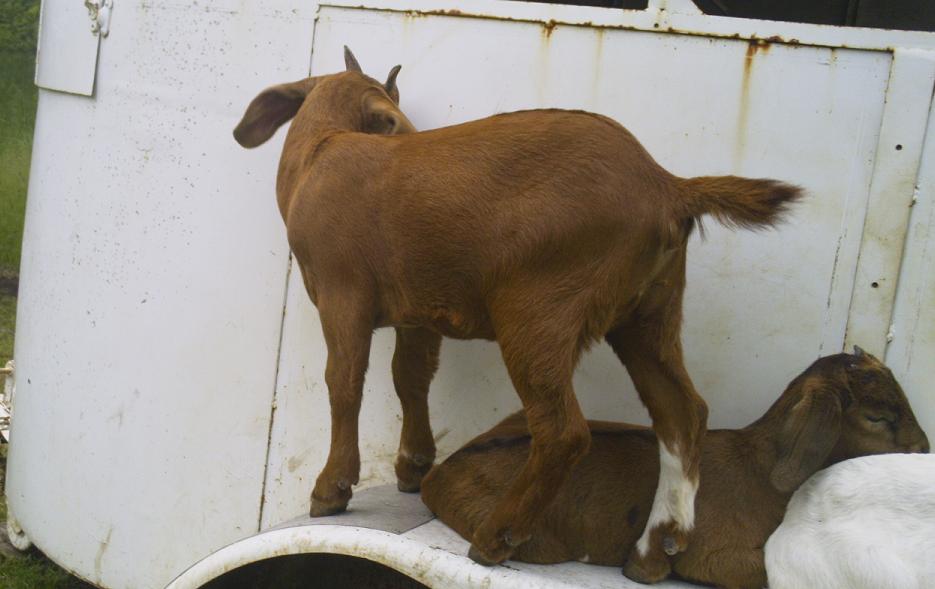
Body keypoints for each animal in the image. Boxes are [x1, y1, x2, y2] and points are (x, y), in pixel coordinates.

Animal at [233, 47, 802, 576]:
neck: (319, 154)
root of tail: (667, 185)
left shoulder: (342, 292)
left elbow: (344, 382)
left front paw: (332, 489)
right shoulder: (417, 308)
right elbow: (410, 377)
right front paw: (413, 466)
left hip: (541, 310)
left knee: (563, 431)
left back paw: (497, 536)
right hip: (650, 310)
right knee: (681, 412)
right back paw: (655, 547)